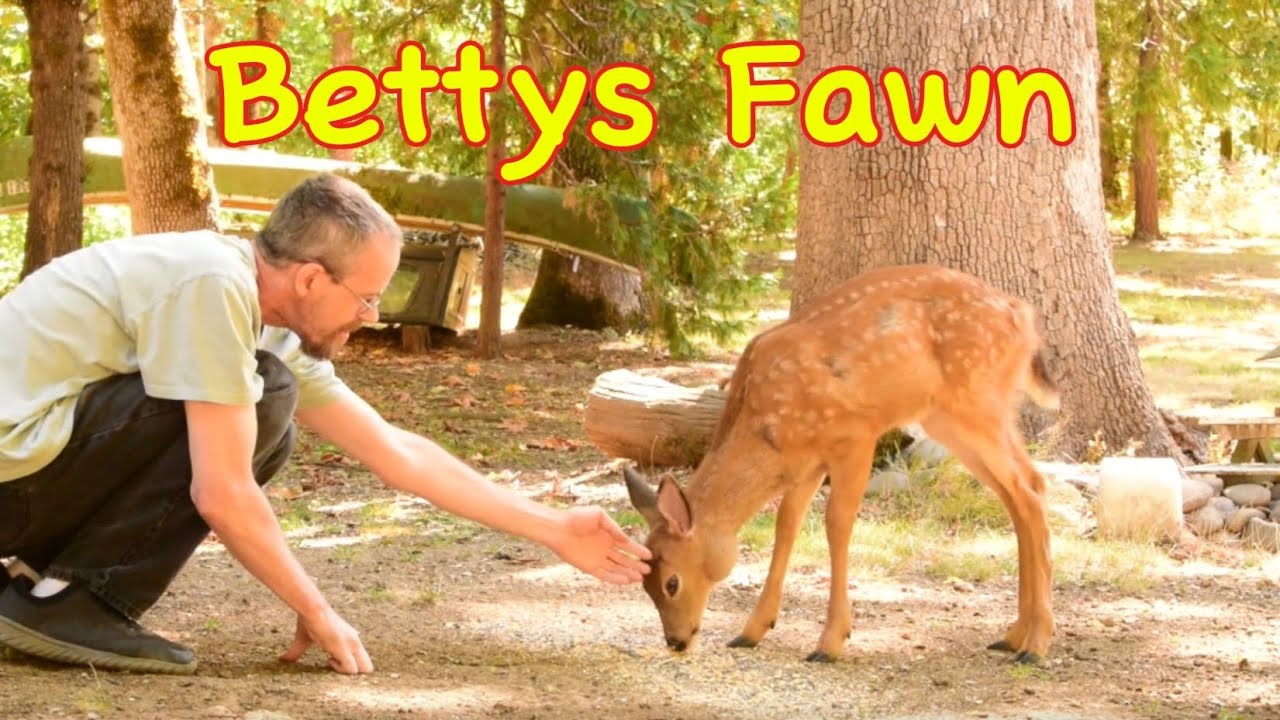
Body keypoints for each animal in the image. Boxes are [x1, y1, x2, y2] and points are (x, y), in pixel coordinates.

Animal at [623, 263, 1059, 665]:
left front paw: (830, 642)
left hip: (977, 402)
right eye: (645, 585)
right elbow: (786, 527)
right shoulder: (806, 463)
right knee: (1022, 491)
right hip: (951, 418)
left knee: (1029, 489)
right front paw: (752, 631)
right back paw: (1014, 635)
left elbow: (836, 525)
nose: (676, 641)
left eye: (672, 583)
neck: (766, 428)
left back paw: (1036, 645)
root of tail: (1023, 315)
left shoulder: (855, 435)